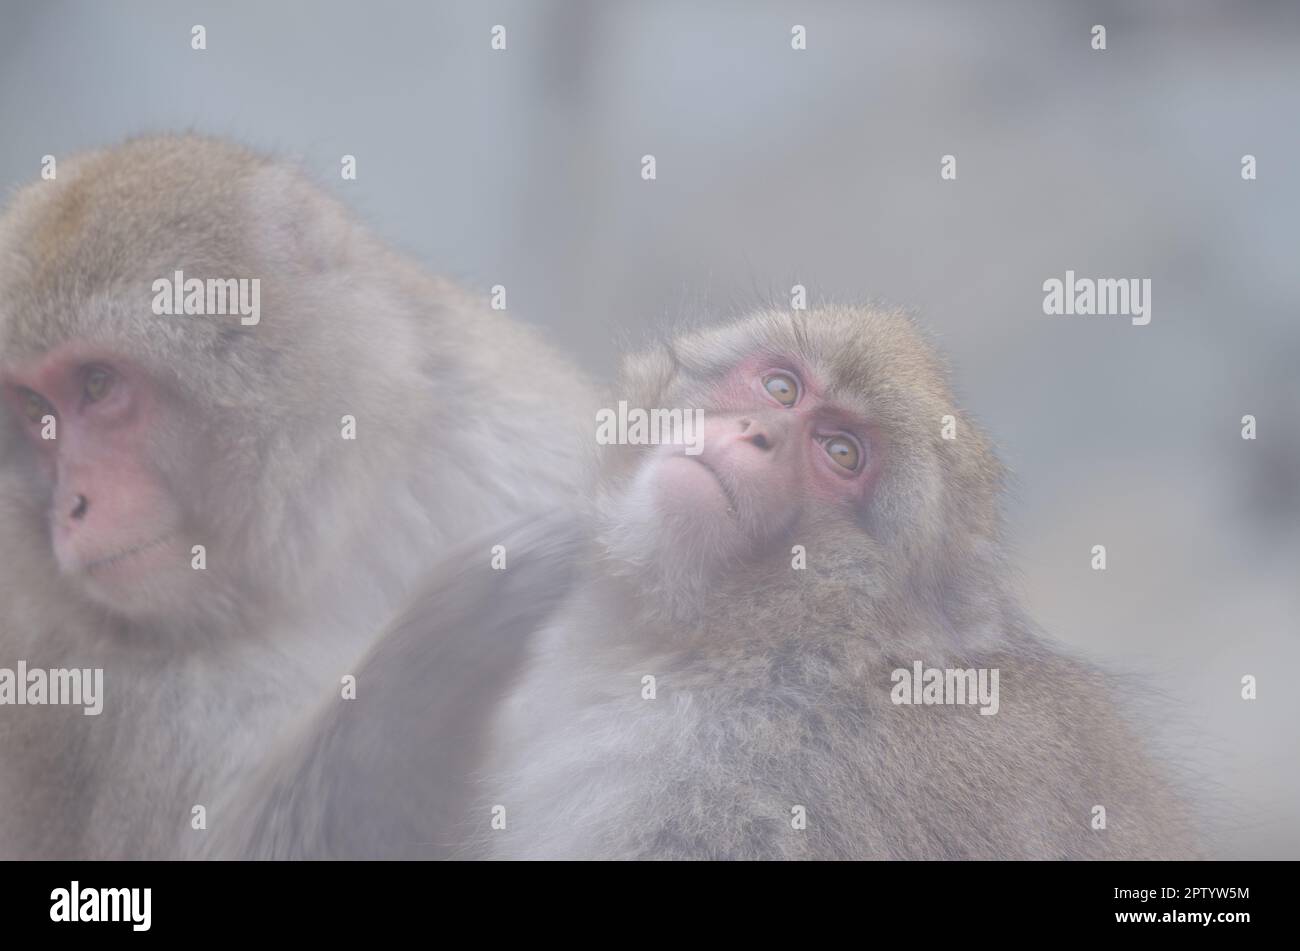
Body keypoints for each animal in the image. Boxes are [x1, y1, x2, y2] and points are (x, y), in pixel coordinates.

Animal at [0, 134, 595, 859]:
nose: (71, 507)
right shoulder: (96, 680)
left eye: (97, 384)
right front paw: (441, 645)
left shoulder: (502, 432)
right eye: (36, 407)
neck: (317, 548)